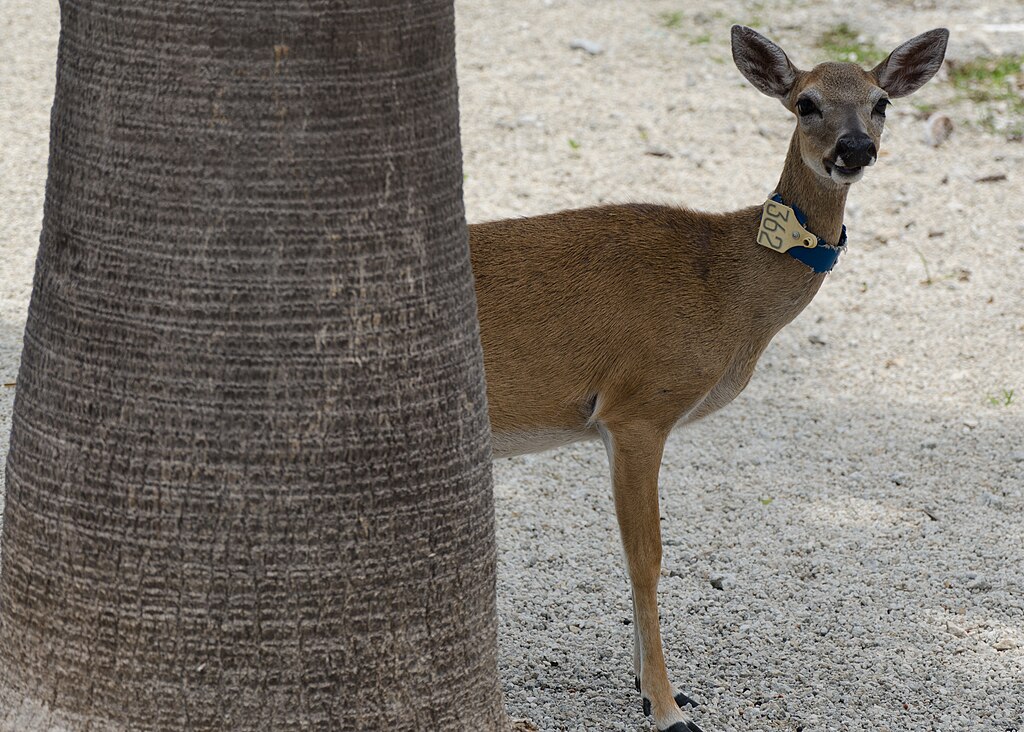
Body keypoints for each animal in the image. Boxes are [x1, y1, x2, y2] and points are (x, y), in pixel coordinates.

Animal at [468, 25, 949, 732]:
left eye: (881, 102)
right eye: (805, 102)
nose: (855, 148)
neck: (729, 288)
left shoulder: (616, 423)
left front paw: (651, 689)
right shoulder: (639, 404)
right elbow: (647, 559)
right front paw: (669, 708)